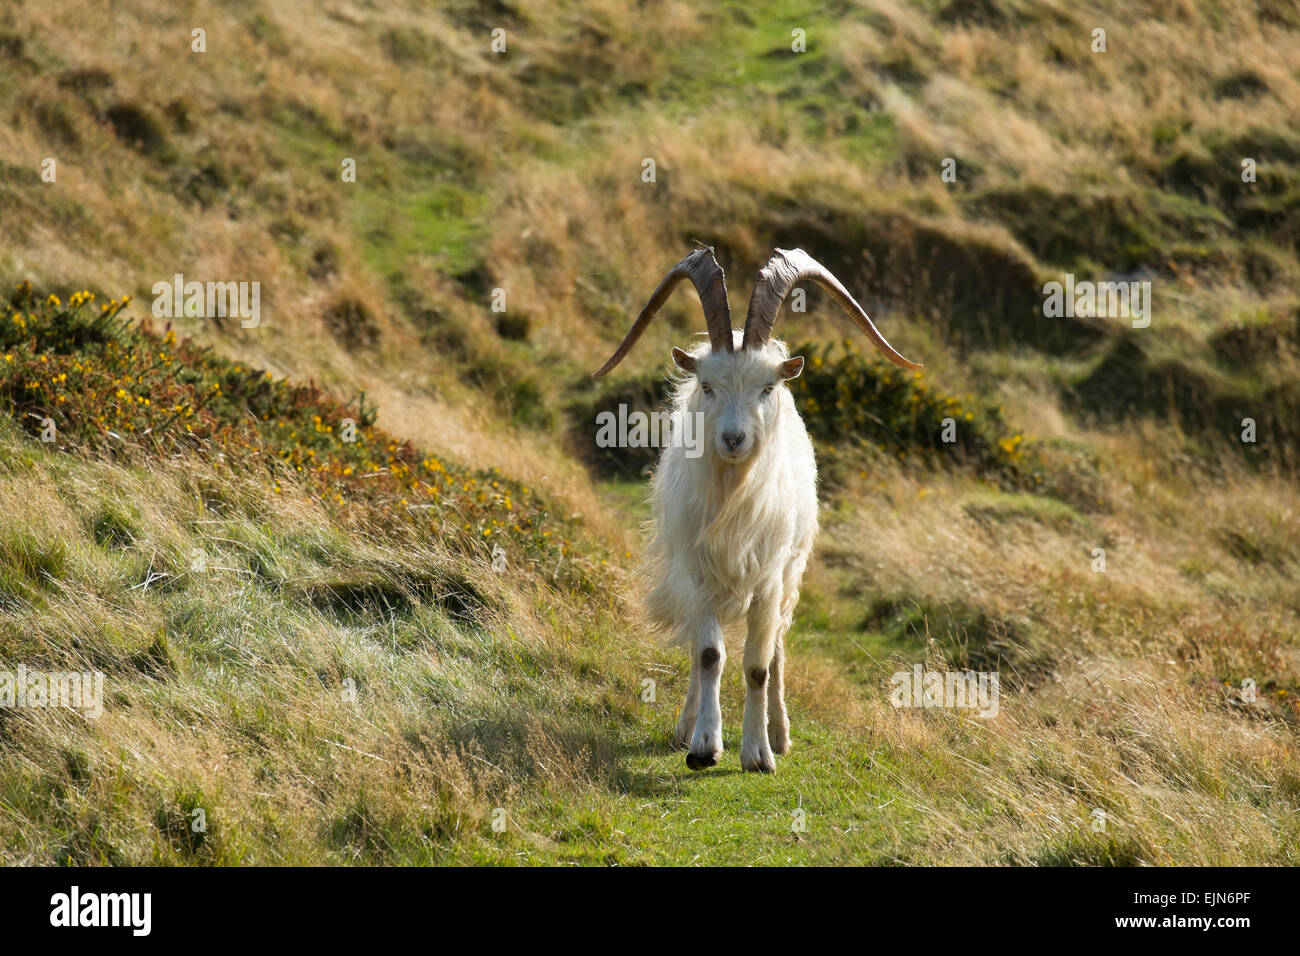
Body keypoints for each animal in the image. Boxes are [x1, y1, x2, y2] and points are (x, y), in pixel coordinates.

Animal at [592, 248, 921, 772]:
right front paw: (704, 745)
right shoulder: (699, 571)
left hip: (789, 571)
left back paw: (779, 732)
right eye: (707, 385)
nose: (733, 438)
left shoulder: (768, 578)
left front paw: (759, 752)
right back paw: (686, 725)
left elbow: (759, 666)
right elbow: (709, 655)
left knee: (778, 646)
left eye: (767, 388)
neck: (733, 494)